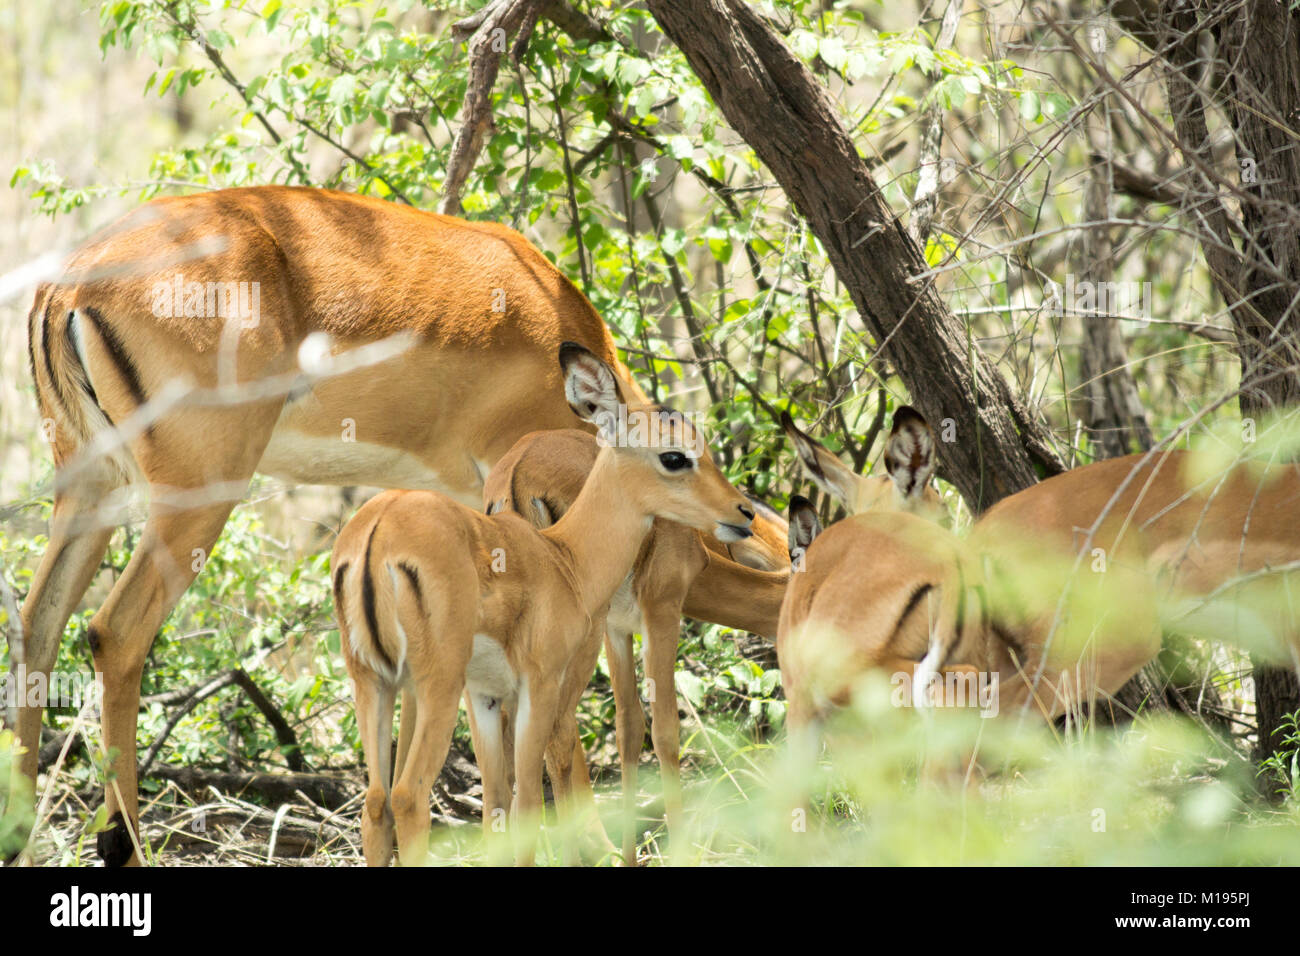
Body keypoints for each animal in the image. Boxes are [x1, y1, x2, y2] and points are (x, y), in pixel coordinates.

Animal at [332, 345, 754, 868]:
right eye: (674, 456)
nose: (743, 512)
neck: (564, 557)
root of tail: (377, 533)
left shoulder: (488, 697)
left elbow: (498, 805)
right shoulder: (539, 685)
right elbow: (530, 802)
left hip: (373, 684)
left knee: (375, 803)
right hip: (436, 689)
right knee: (409, 797)